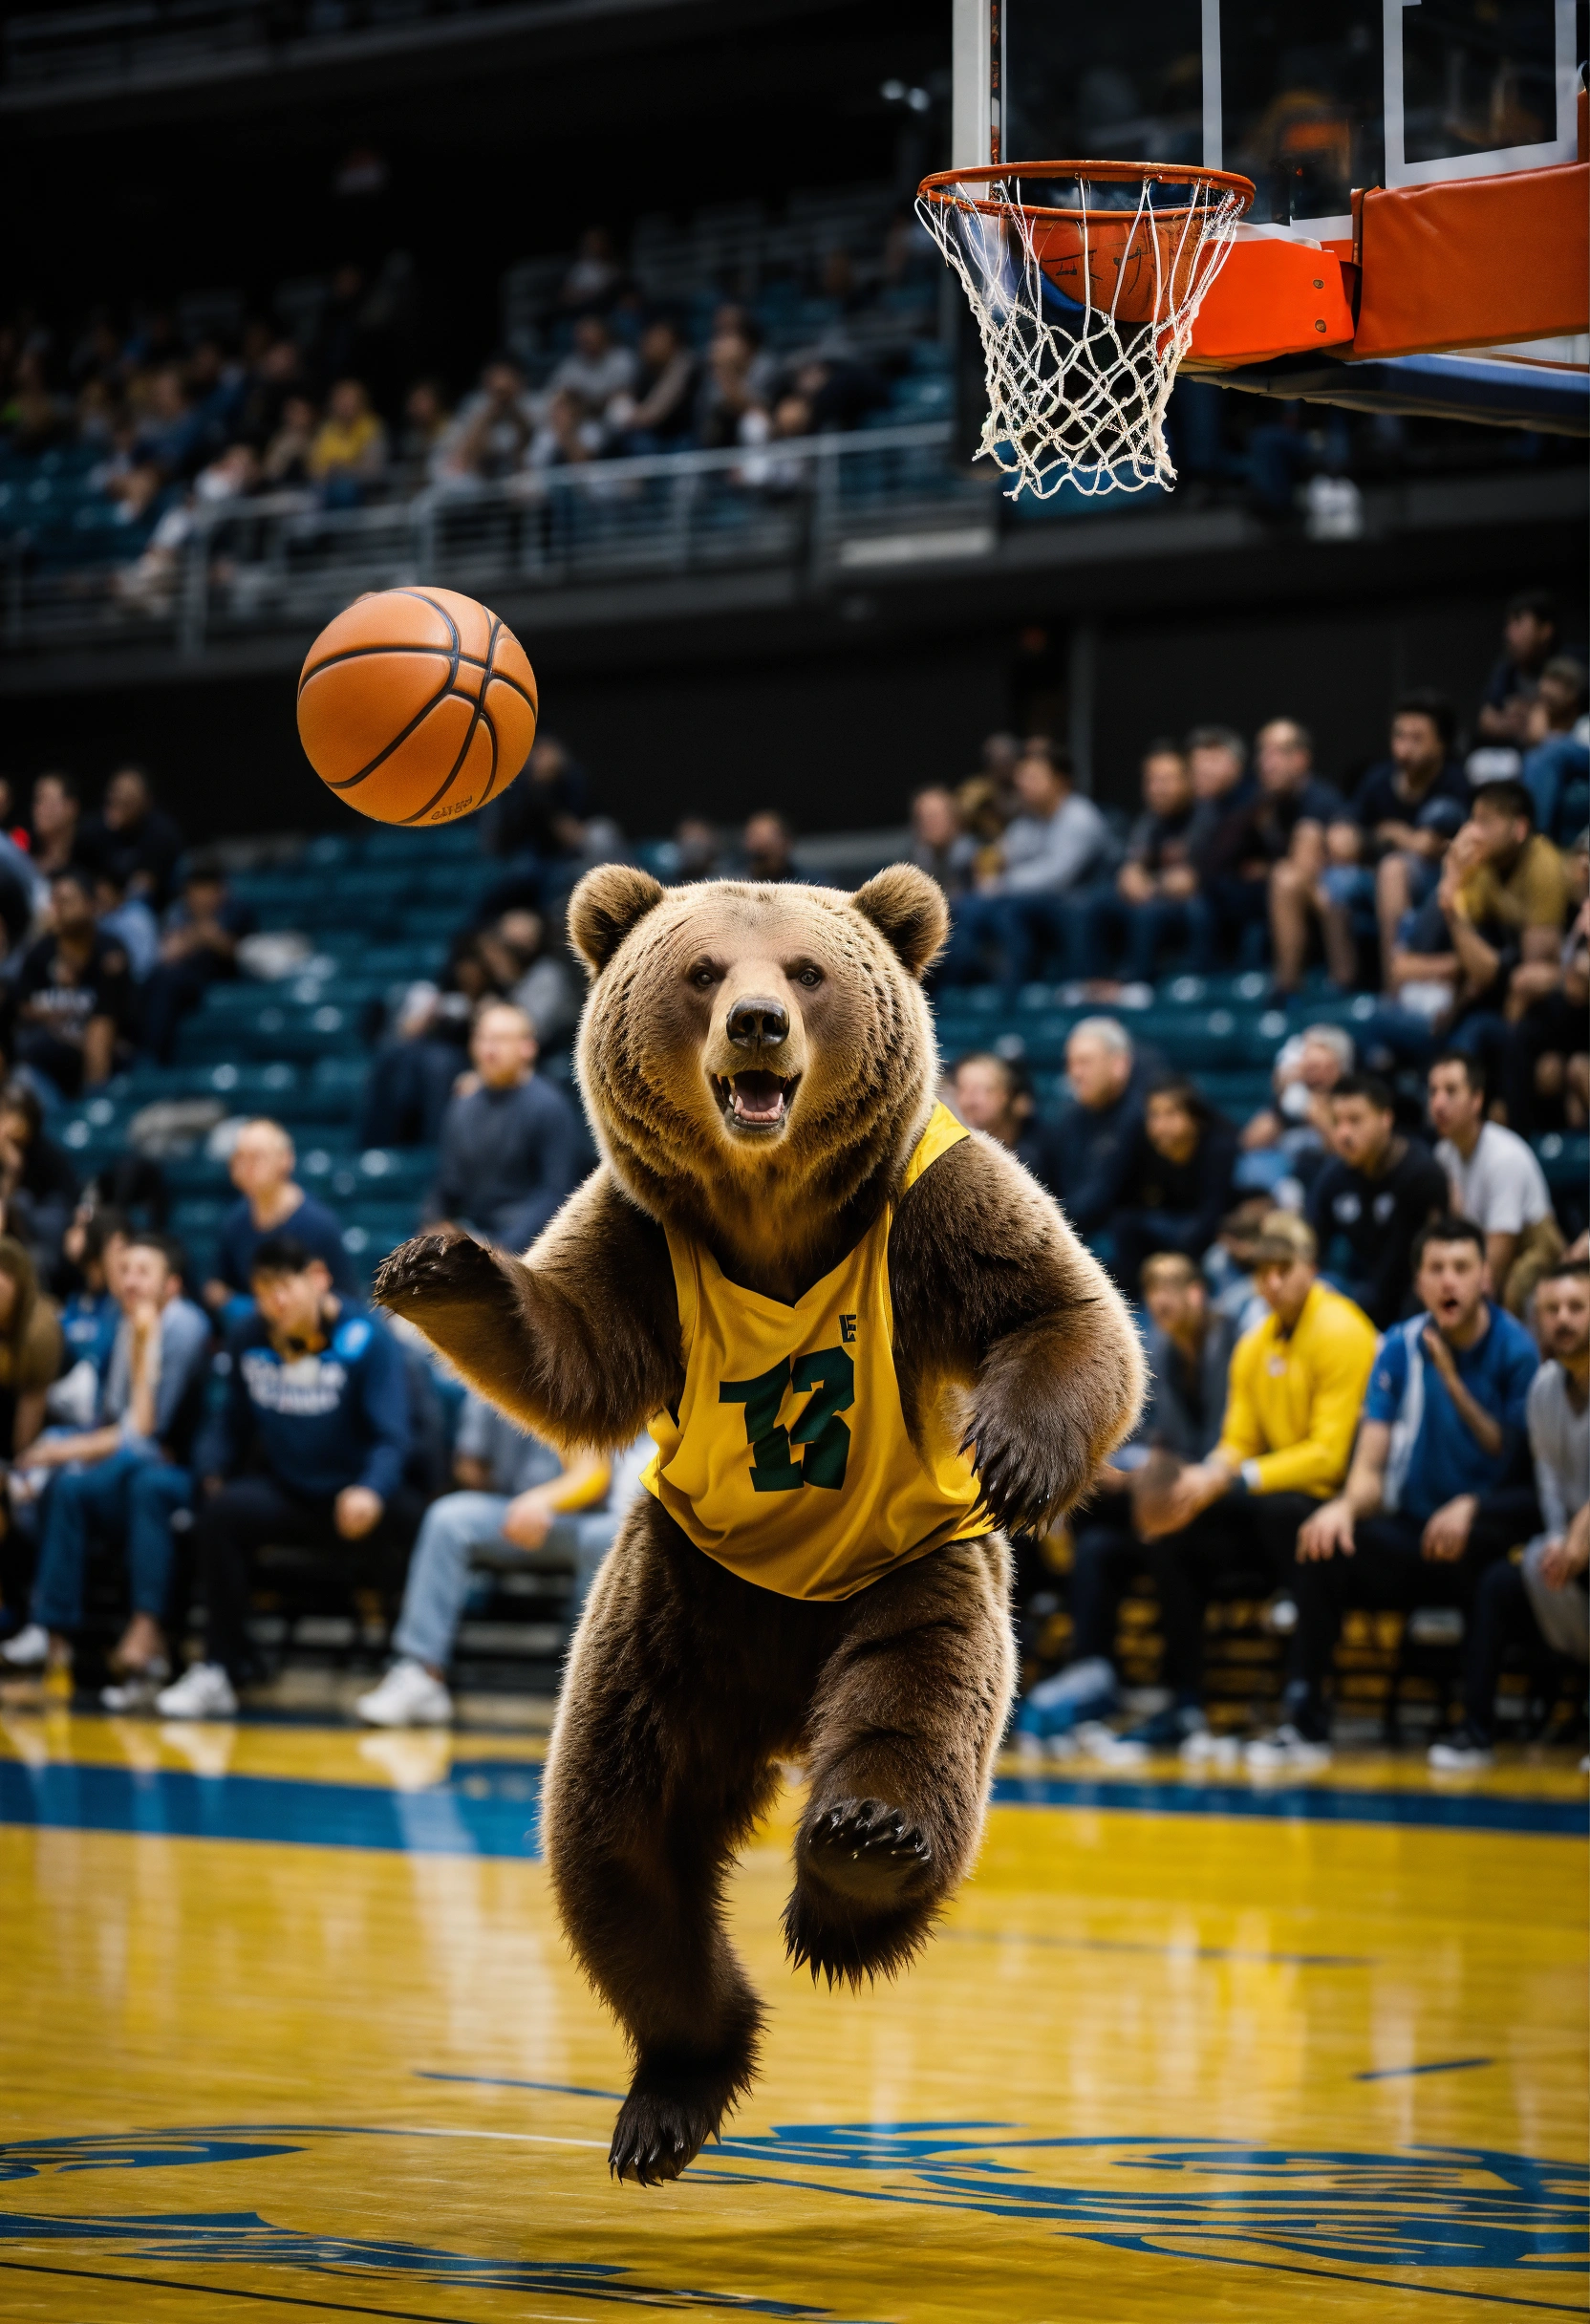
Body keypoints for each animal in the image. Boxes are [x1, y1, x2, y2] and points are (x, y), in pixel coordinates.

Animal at [374, 860, 1143, 2186]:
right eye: (700, 970)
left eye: (807, 969)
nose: (755, 1025)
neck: (770, 1207)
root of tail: (781, 1715)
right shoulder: (646, 1239)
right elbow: (576, 1349)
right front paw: (441, 1266)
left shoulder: (935, 1201)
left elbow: (1056, 1307)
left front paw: (1012, 1450)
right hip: (677, 1613)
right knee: (617, 1836)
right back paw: (673, 2086)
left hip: (904, 1579)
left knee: (913, 1706)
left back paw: (861, 1847)